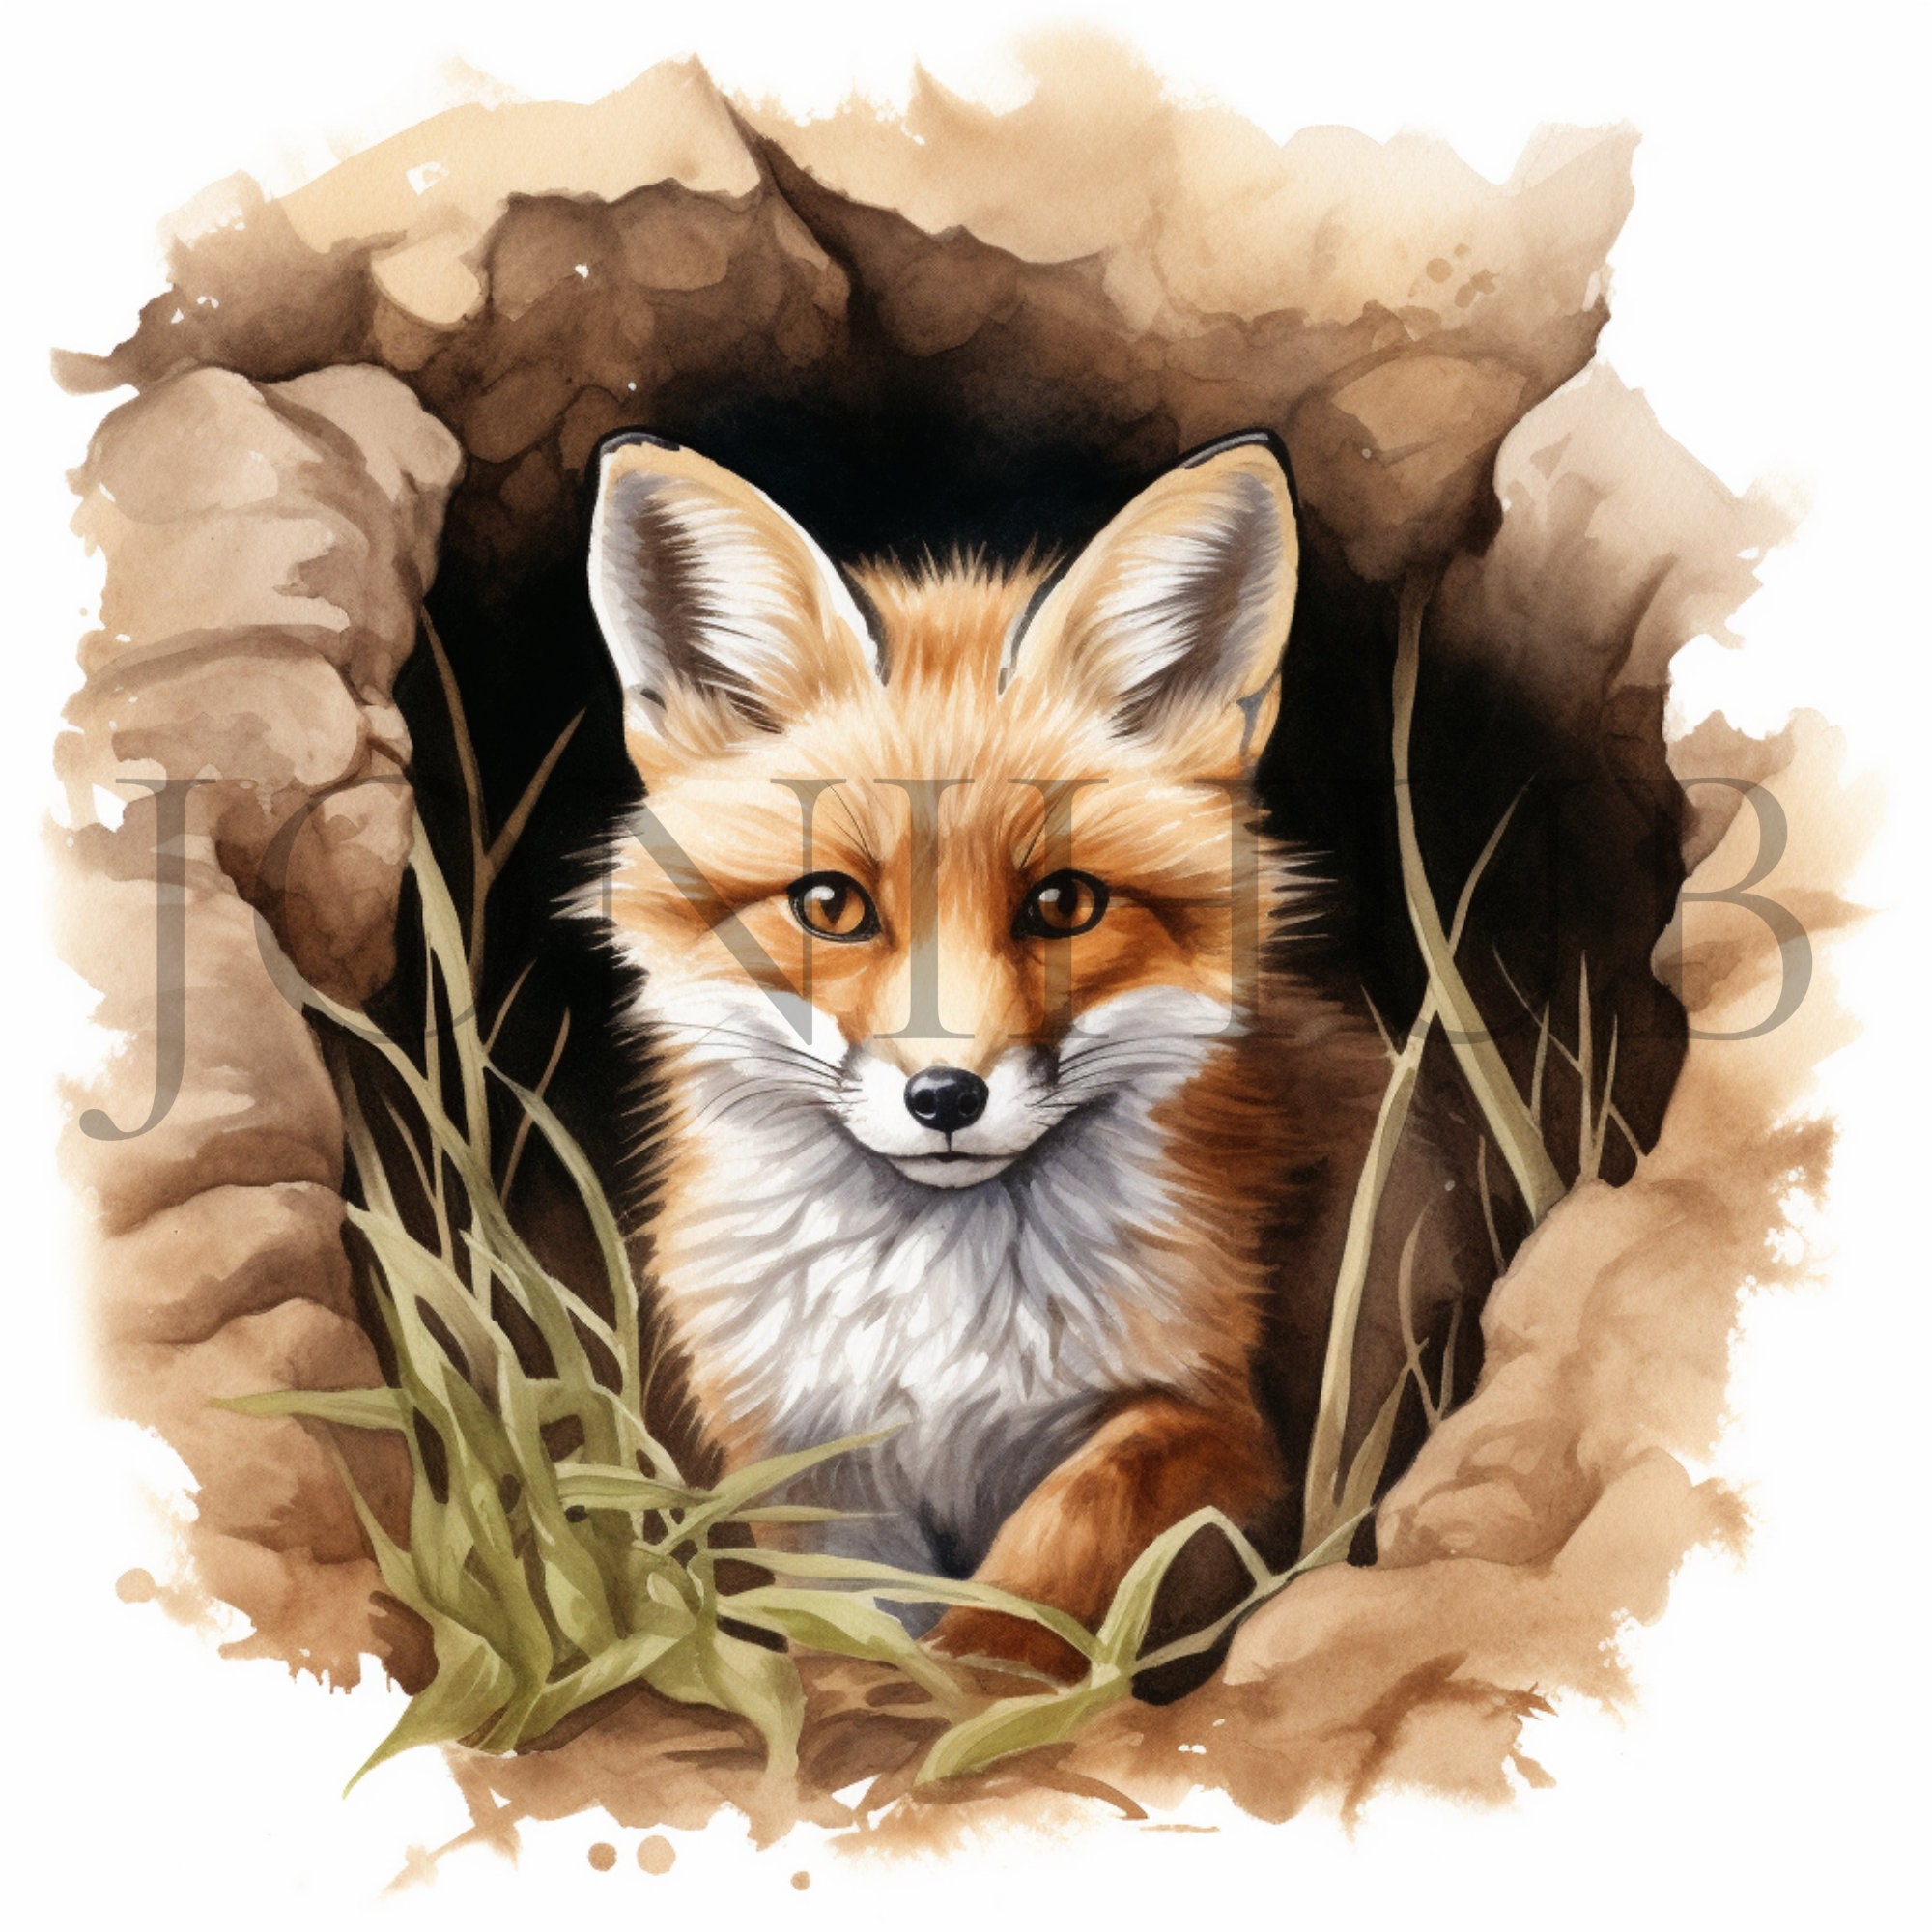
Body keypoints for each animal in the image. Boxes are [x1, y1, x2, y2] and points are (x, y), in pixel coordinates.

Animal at [584, 427, 1382, 1681]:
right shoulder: (811, 1451)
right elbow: (851, 1623)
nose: (945, 1095)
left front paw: (975, 1677)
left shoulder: (1210, 1416)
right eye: (830, 904)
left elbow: (1062, 1535)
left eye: (1061, 902)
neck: (935, 1314)